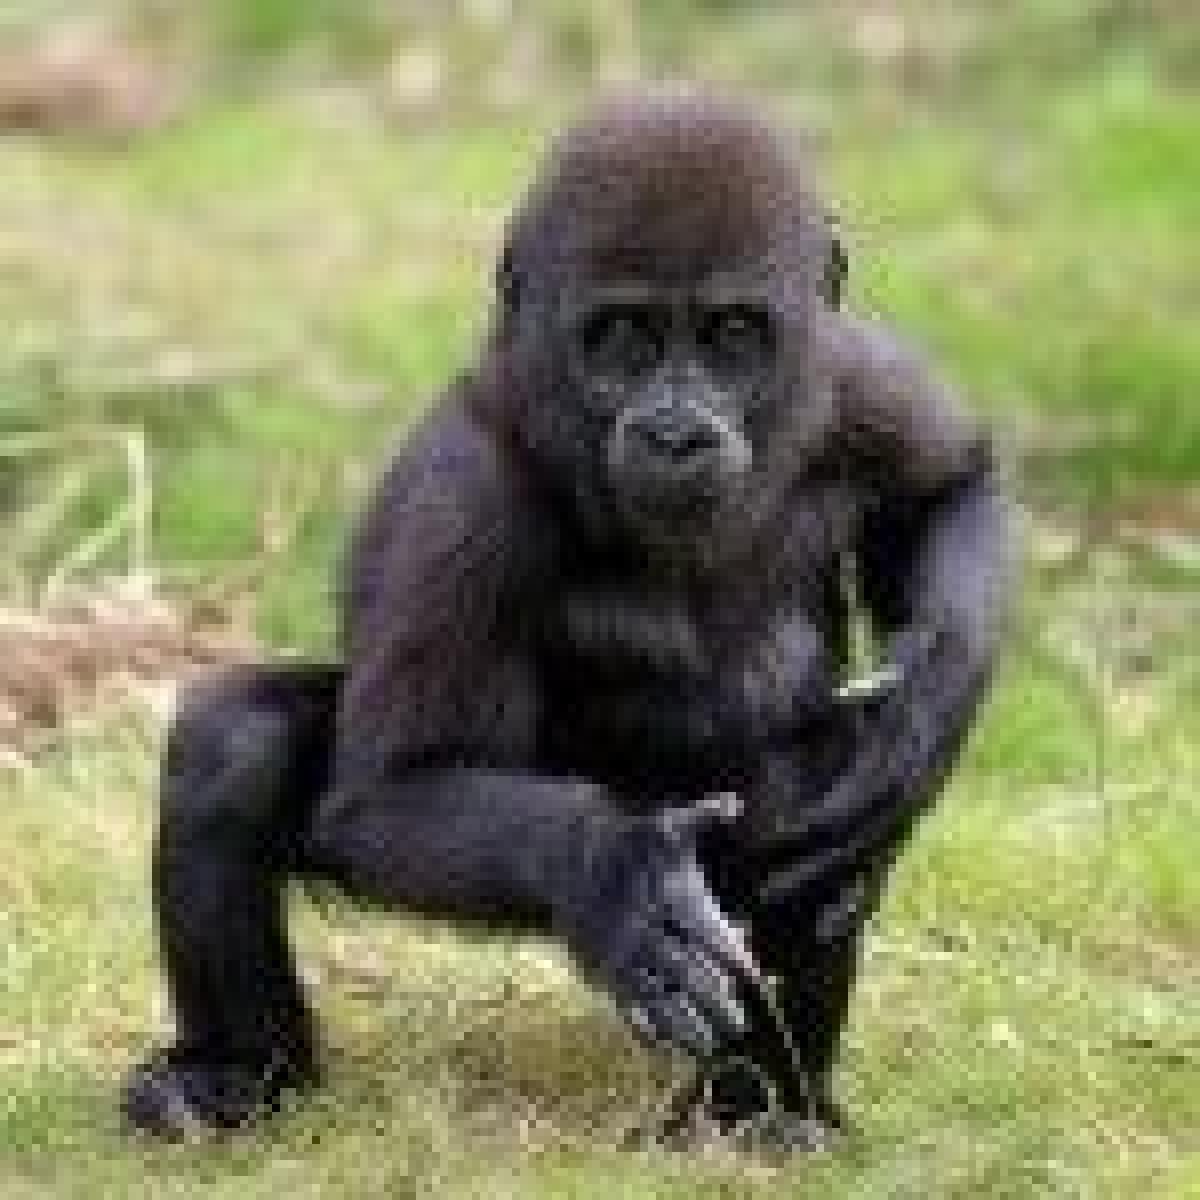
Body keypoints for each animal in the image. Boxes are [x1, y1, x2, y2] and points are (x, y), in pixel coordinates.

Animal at [122, 87, 1011, 1148]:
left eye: (733, 334)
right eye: (622, 335)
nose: (677, 433)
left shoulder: (848, 372)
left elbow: (952, 484)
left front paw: (925, 713)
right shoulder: (461, 495)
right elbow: (391, 793)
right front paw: (609, 868)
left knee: (818, 822)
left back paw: (758, 1111)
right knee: (233, 742)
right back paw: (233, 1074)